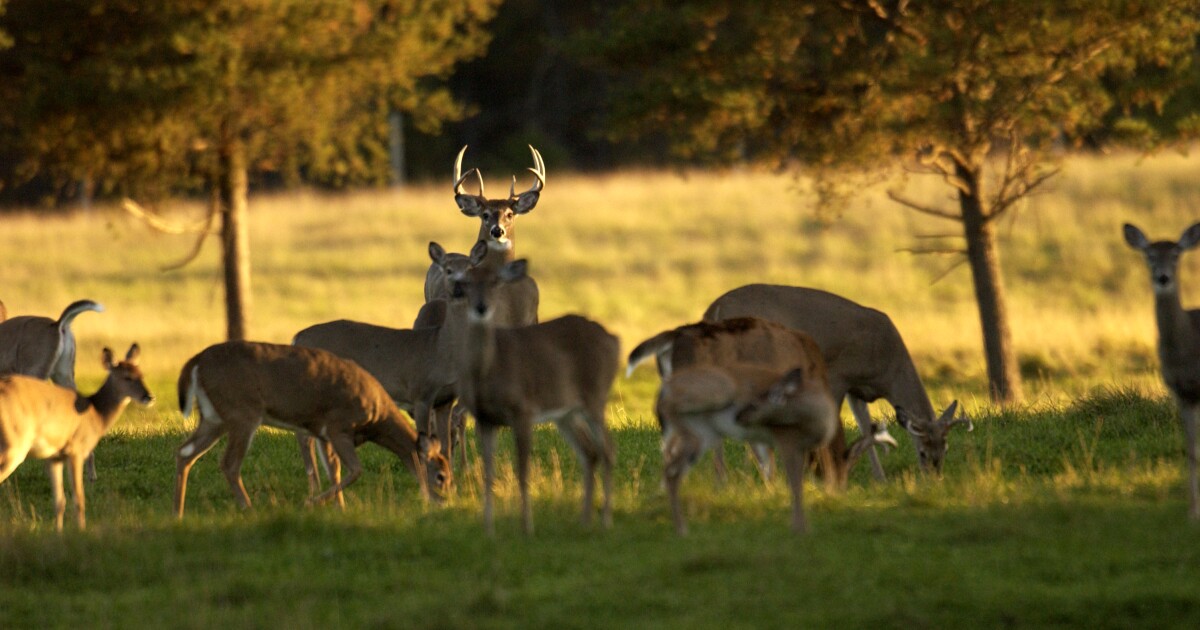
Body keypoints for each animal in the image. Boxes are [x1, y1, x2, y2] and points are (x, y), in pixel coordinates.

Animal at [0, 344, 153, 531]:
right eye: (127, 377)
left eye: (141, 374)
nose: (149, 396)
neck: (96, 413)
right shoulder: (76, 449)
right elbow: (79, 498)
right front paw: (81, 530)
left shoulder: (55, 457)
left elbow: (59, 501)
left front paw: (59, 532)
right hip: (13, 445)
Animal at [173, 341, 451, 519]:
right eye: (441, 476)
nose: (444, 501)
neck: (377, 418)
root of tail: (196, 362)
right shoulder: (339, 426)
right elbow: (355, 470)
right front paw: (311, 502)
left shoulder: (323, 433)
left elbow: (335, 470)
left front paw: (339, 509)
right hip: (242, 412)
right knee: (228, 463)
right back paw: (248, 509)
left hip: (213, 418)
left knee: (184, 453)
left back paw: (177, 513)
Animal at [455, 257, 620, 536]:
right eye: (466, 283)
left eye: (495, 281)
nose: (481, 307)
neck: (489, 370)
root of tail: (614, 340)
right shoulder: (485, 419)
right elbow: (488, 473)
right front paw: (488, 530)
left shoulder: (523, 410)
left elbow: (523, 471)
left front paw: (526, 527)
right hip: (566, 413)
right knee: (590, 452)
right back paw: (584, 520)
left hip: (595, 397)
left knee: (607, 449)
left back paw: (606, 520)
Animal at [703, 285, 968, 478]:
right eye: (922, 452)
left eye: (946, 449)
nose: (935, 477)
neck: (888, 369)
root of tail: (714, 309)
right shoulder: (838, 374)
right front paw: (821, 471)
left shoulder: (857, 390)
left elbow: (866, 427)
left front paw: (879, 479)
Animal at [1123, 222, 1200, 521]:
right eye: (1149, 255)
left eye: (1177, 254)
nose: (1163, 278)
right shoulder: (1181, 393)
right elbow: (1191, 450)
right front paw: (1192, 512)